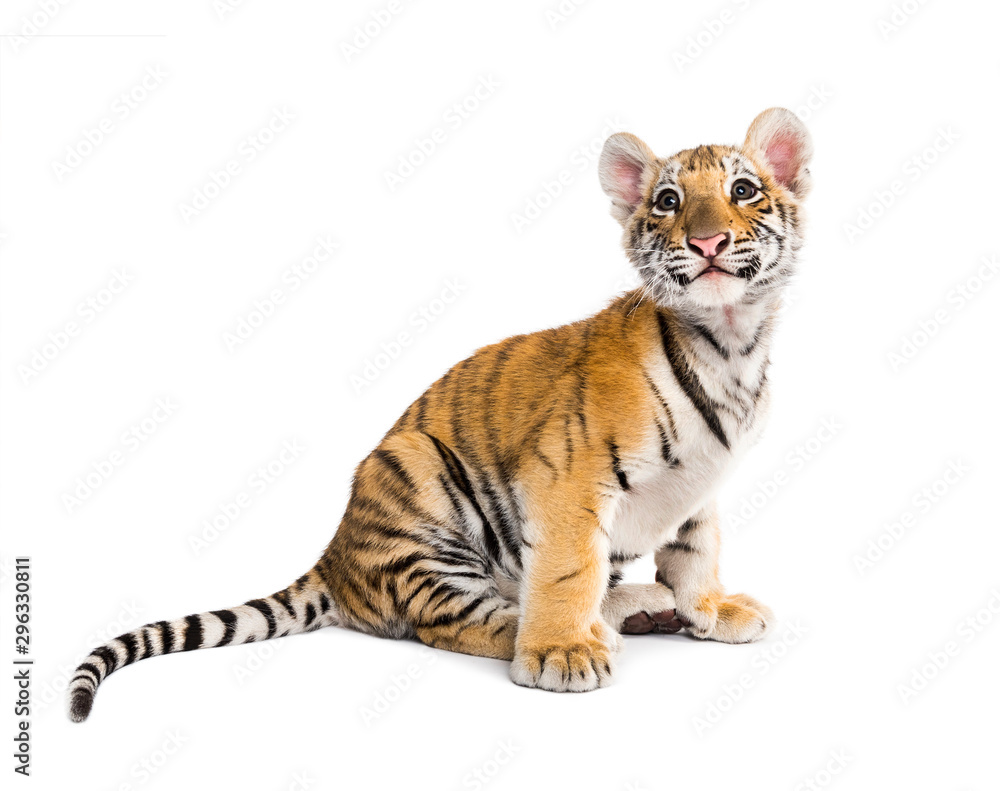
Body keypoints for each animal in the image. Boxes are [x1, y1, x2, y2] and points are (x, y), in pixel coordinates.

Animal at [68, 107, 811, 721]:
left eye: (743, 191)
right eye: (667, 202)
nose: (709, 242)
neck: (730, 344)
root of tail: (332, 560)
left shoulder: (701, 485)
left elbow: (695, 550)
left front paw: (710, 607)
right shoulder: (568, 477)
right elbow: (568, 568)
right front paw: (562, 652)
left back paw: (639, 608)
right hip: (419, 483)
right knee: (451, 616)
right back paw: (587, 630)